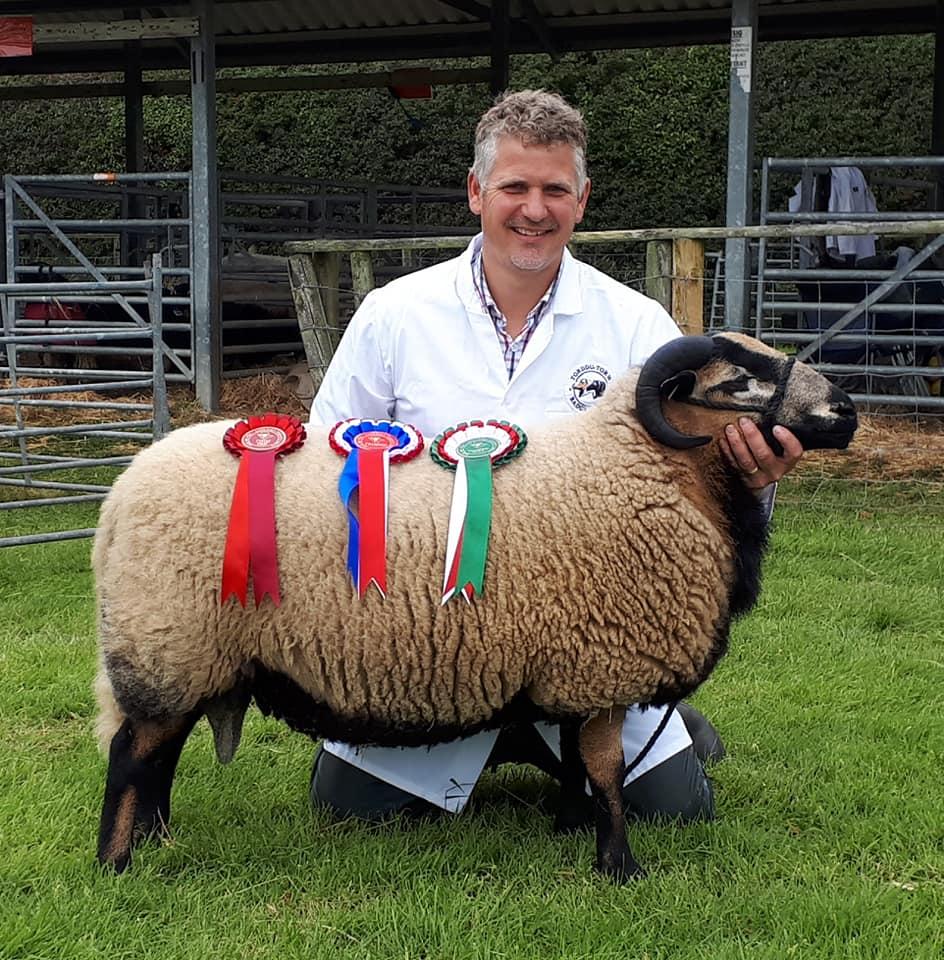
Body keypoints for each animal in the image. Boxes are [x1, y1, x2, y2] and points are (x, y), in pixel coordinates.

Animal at [93, 332, 857, 880]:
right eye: (739, 382)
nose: (845, 412)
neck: (642, 468)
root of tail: (119, 498)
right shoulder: (604, 663)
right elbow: (609, 770)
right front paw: (619, 868)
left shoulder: (574, 665)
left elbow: (579, 760)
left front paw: (571, 827)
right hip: (168, 641)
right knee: (133, 753)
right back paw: (118, 863)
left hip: (189, 654)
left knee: (161, 752)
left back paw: (158, 840)